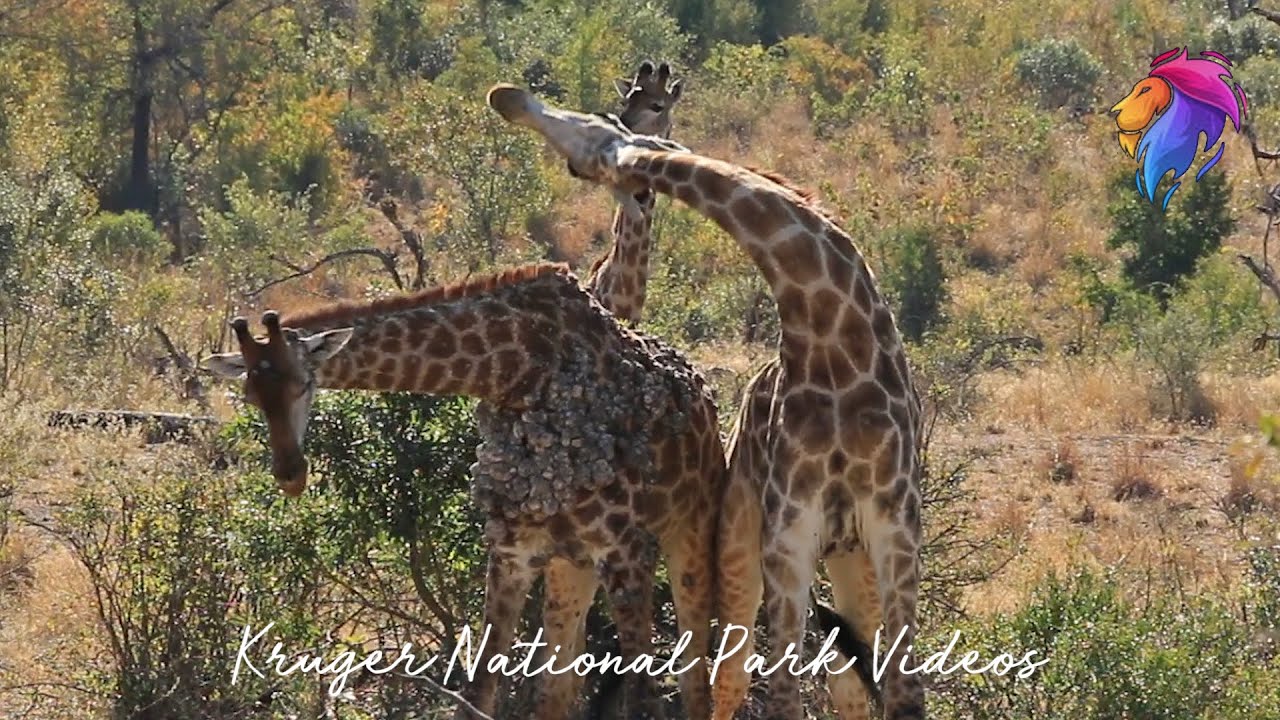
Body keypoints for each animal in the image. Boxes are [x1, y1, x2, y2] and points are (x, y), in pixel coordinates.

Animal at [201, 263, 725, 720]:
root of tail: (706, 398)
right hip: (570, 565)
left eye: (304, 384)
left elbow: (646, 699)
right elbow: (479, 690)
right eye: (251, 397)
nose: (291, 473)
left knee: (695, 678)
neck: (517, 372)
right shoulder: (513, 552)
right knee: (559, 688)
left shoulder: (627, 552)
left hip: (688, 533)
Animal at [487, 86, 926, 720]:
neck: (834, 346)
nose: (508, 98)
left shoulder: (897, 532)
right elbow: (783, 692)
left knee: (844, 685)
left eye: (589, 132)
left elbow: (902, 693)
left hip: (850, 557)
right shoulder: (788, 538)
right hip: (744, 541)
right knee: (731, 676)